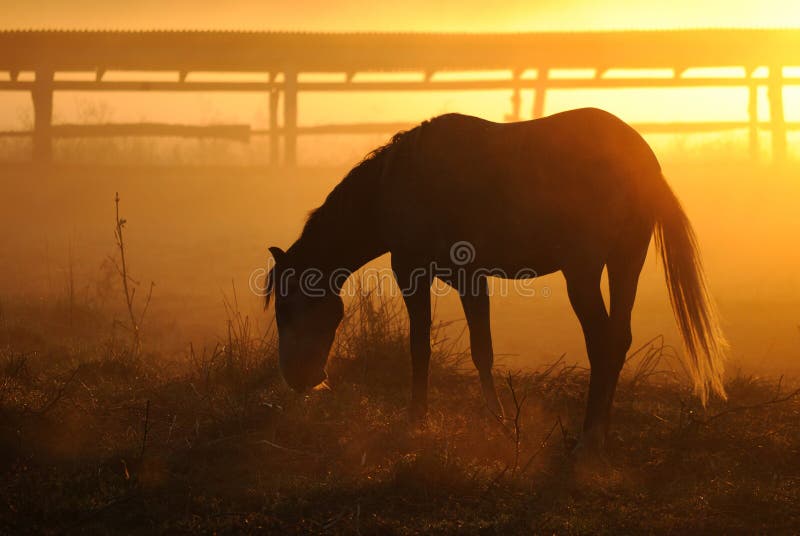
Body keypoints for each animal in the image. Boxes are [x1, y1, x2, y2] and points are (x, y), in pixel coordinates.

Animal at [264, 107, 727, 452]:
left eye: (287, 309)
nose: (298, 380)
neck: (396, 184)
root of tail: (642, 158)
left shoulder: (415, 270)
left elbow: (424, 347)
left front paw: (419, 420)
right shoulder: (472, 279)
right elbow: (481, 350)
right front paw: (499, 421)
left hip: (583, 272)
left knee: (602, 341)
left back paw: (588, 438)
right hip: (624, 263)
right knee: (618, 338)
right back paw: (601, 433)